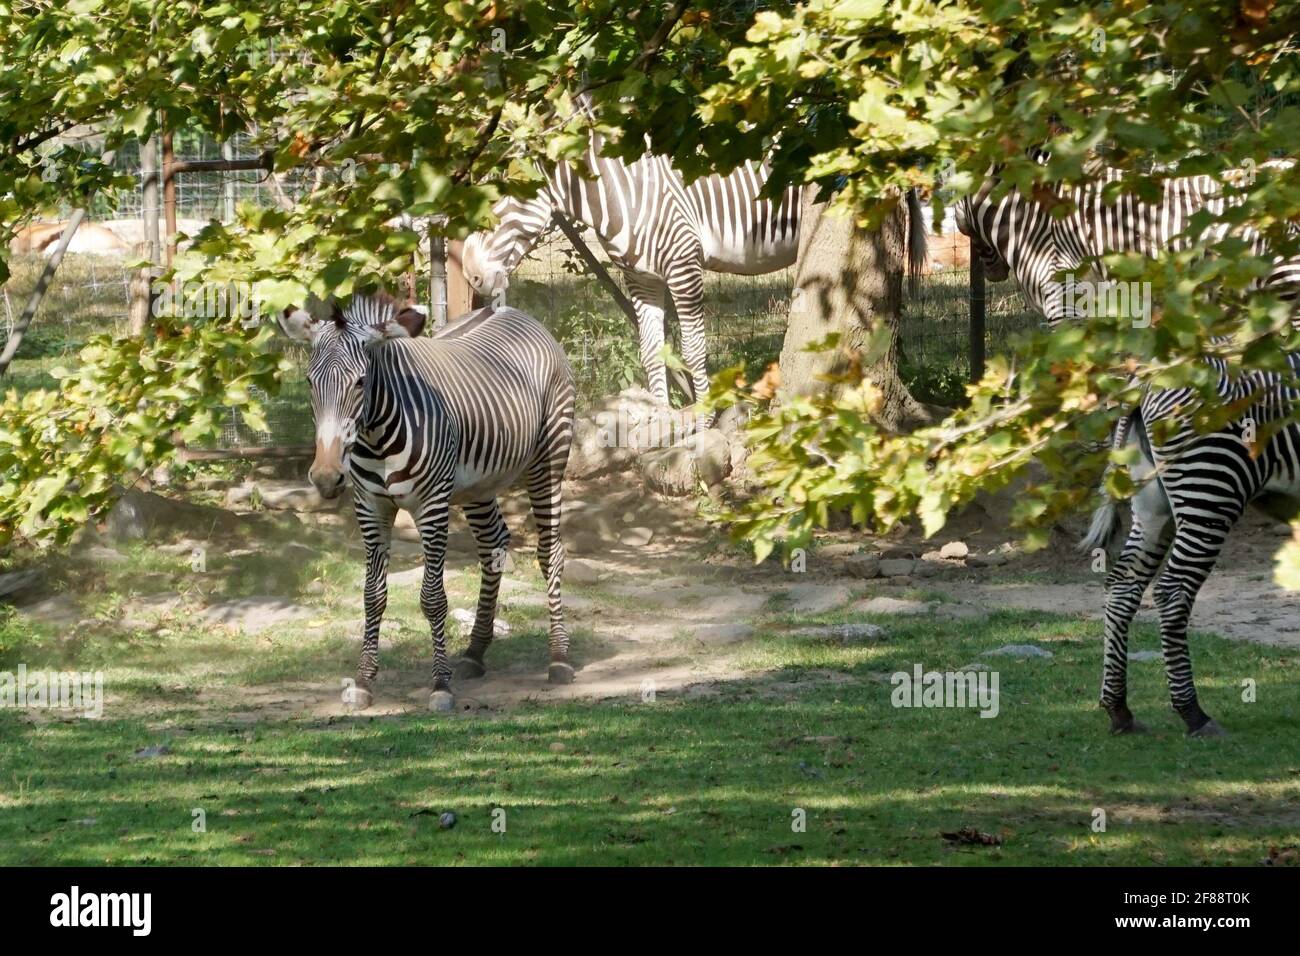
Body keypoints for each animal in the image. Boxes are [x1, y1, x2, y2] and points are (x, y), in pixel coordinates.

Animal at [276, 292, 577, 711]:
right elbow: (372, 595)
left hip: (549, 455)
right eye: (309, 381)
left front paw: (440, 685)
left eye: (361, 382)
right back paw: (475, 652)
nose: (325, 477)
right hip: (478, 483)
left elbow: (433, 597)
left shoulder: (432, 505)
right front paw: (363, 681)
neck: (375, 436)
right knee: (494, 543)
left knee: (551, 551)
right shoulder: (370, 507)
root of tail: (508, 309)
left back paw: (559, 658)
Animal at [463, 138, 927, 405]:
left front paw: (704, 419)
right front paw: (660, 419)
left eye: (498, 207)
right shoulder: (641, 279)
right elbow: (651, 351)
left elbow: (693, 350)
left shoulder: (684, 268)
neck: (617, 196)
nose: (472, 279)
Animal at [1079, 353, 1300, 736]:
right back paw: (1193, 714)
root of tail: (1148, 379)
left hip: (1153, 505)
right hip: (1211, 489)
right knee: (1172, 590)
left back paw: (1119, 709)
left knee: (1124, 584)